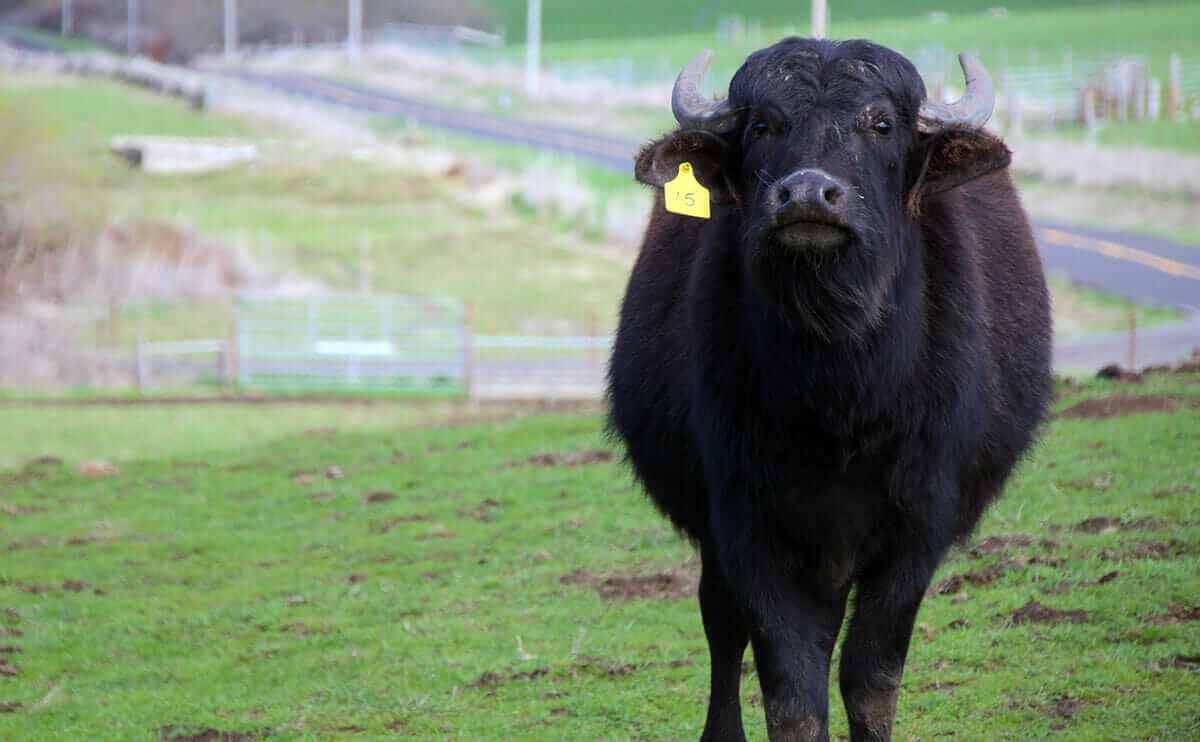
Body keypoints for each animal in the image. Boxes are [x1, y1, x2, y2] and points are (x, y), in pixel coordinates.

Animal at [607, 38, 1052, 742]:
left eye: (882, 124)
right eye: (762, 124)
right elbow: (793, 693)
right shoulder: (748, 529)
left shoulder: (916, 531)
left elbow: (869, 680)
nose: (809, 195)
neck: (840, 394)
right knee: (721, 625)